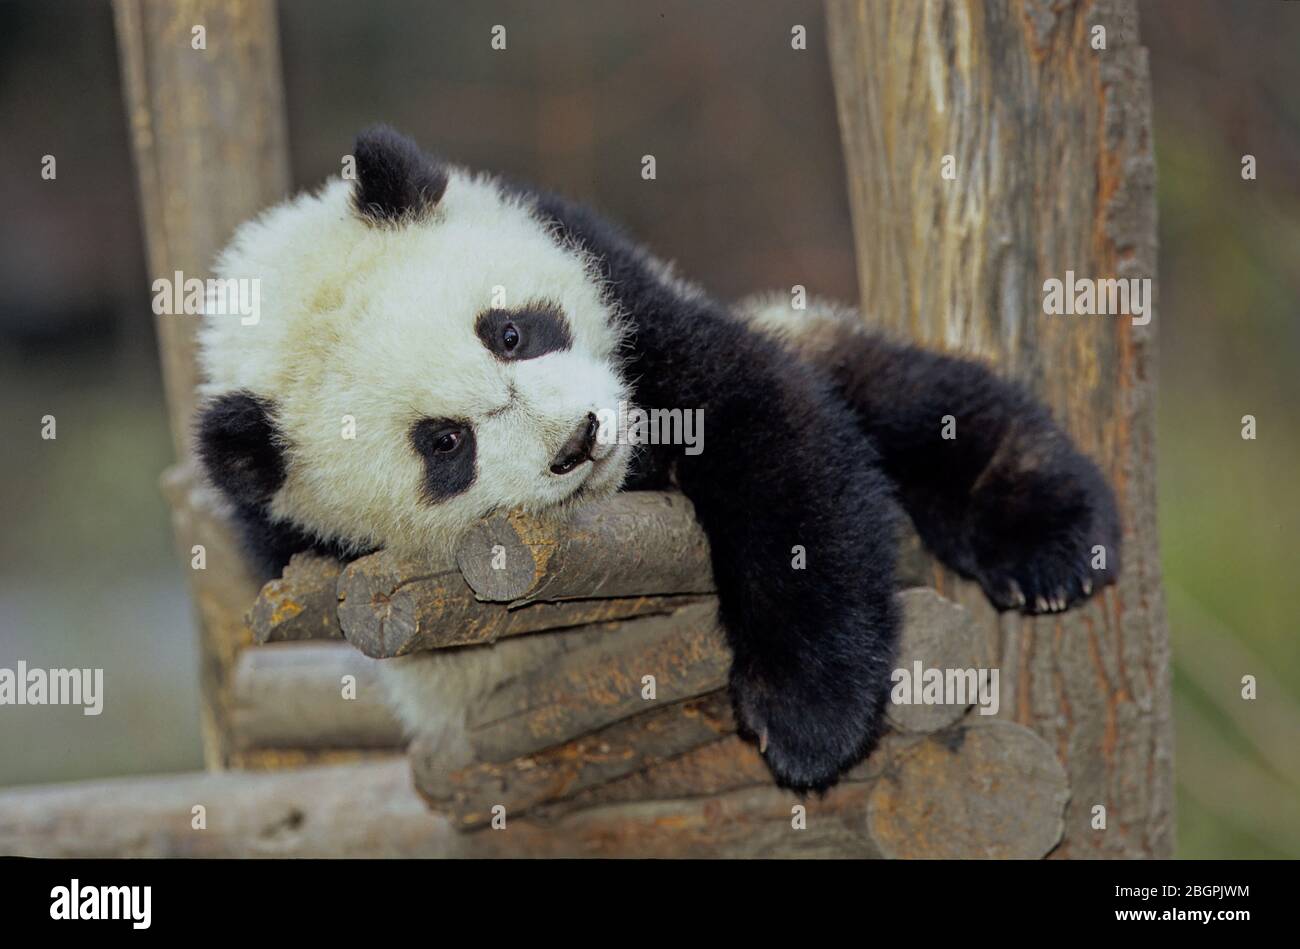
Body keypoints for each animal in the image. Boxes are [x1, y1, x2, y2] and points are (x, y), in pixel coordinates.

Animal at [196, 126, 1120, 792]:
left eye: (509, 331)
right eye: (445, 442)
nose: (578, 441)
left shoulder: (629, 305)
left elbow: (771, 431)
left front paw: (807, 713)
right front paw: (812, 720)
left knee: (894, 390)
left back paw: (1052, 537)